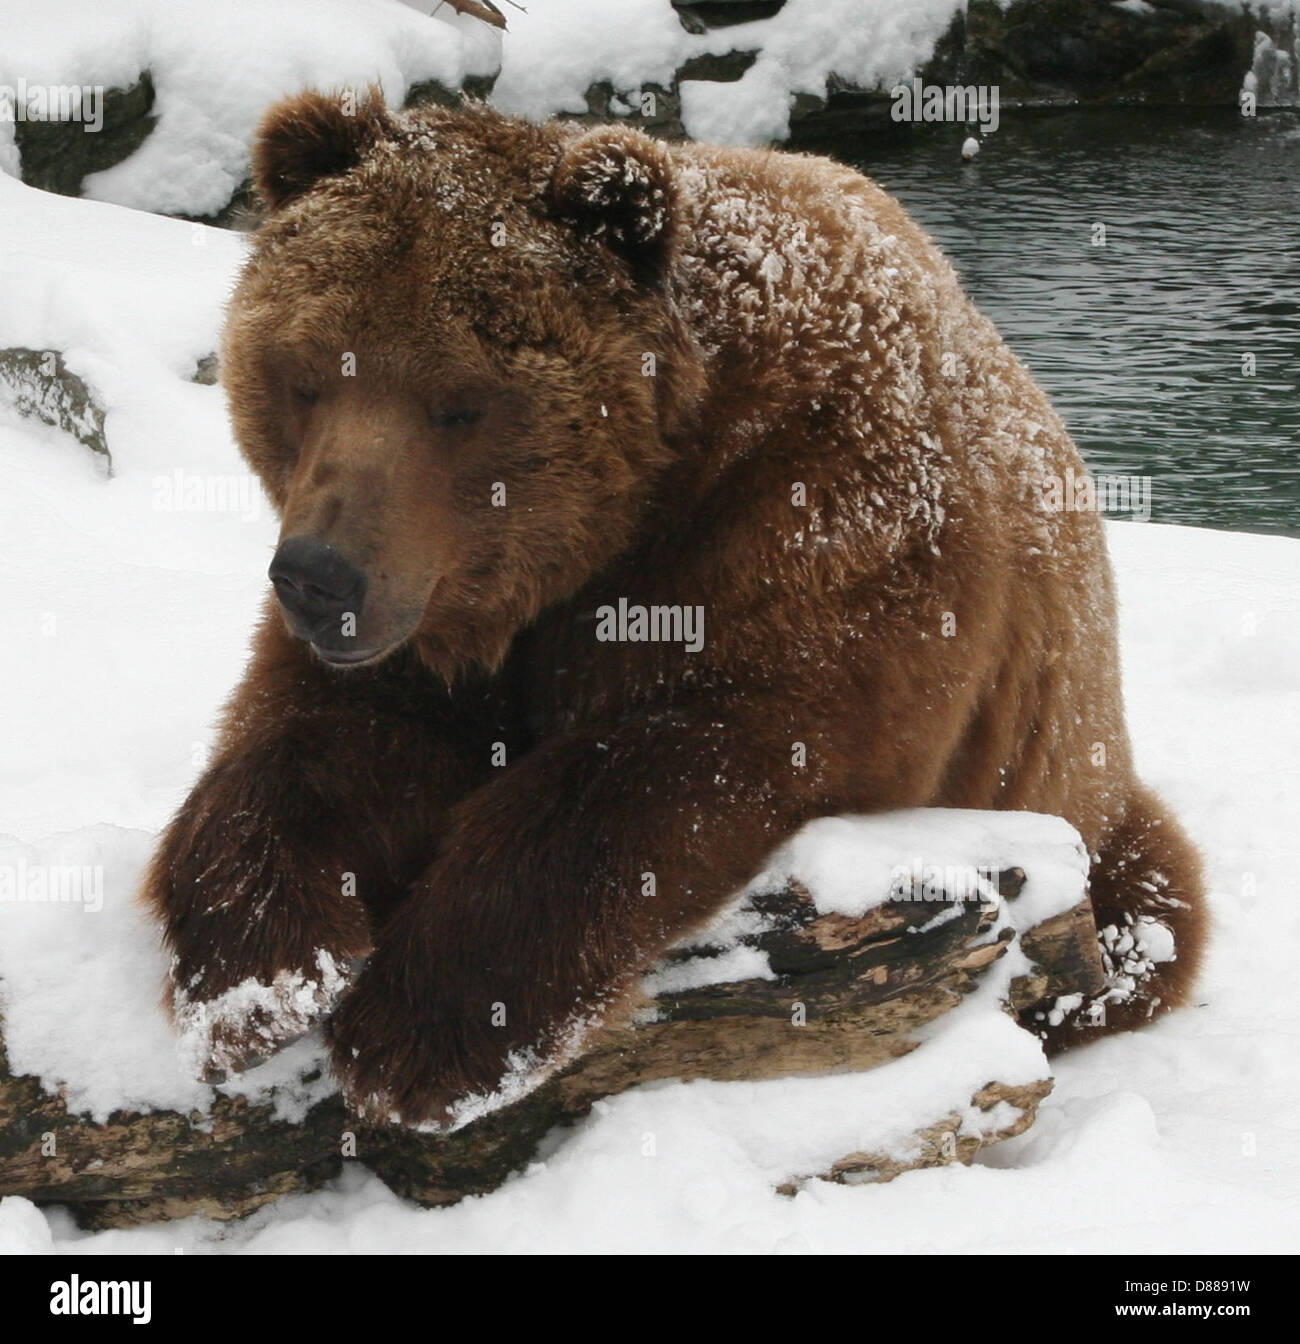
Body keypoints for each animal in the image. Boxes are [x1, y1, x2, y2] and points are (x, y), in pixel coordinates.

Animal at [141, 89, 1206, 1126]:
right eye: (306, 375)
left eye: (459, 403)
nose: (319, 577)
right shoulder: (441, 616)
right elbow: (315, 739)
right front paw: (260, 972)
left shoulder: (817, 523)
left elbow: (685, 753)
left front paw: (421, 1029)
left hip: (1074, 783)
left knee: (1151, 913)